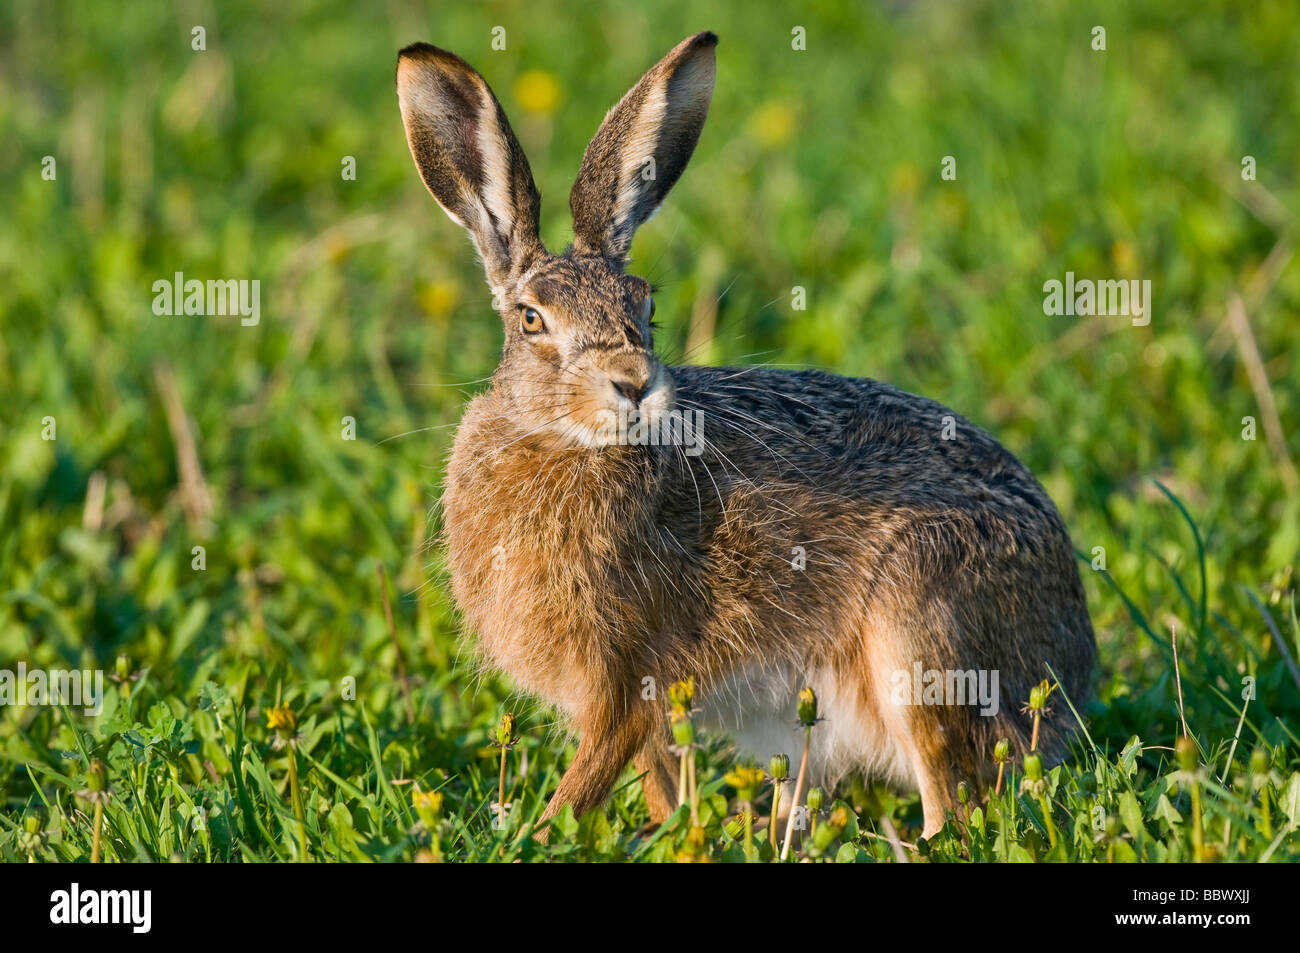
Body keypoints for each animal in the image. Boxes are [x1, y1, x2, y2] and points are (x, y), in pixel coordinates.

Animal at [396, 30, 1095, 839]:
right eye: (531, 319)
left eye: (645, 308)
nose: (634, 383)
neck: (566, 444)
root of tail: (1074, 659)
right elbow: (657, 782)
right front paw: (673, 830)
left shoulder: (625, 675)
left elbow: (587, 778)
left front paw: (540, 837)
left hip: (919, 621)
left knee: (953, 802)